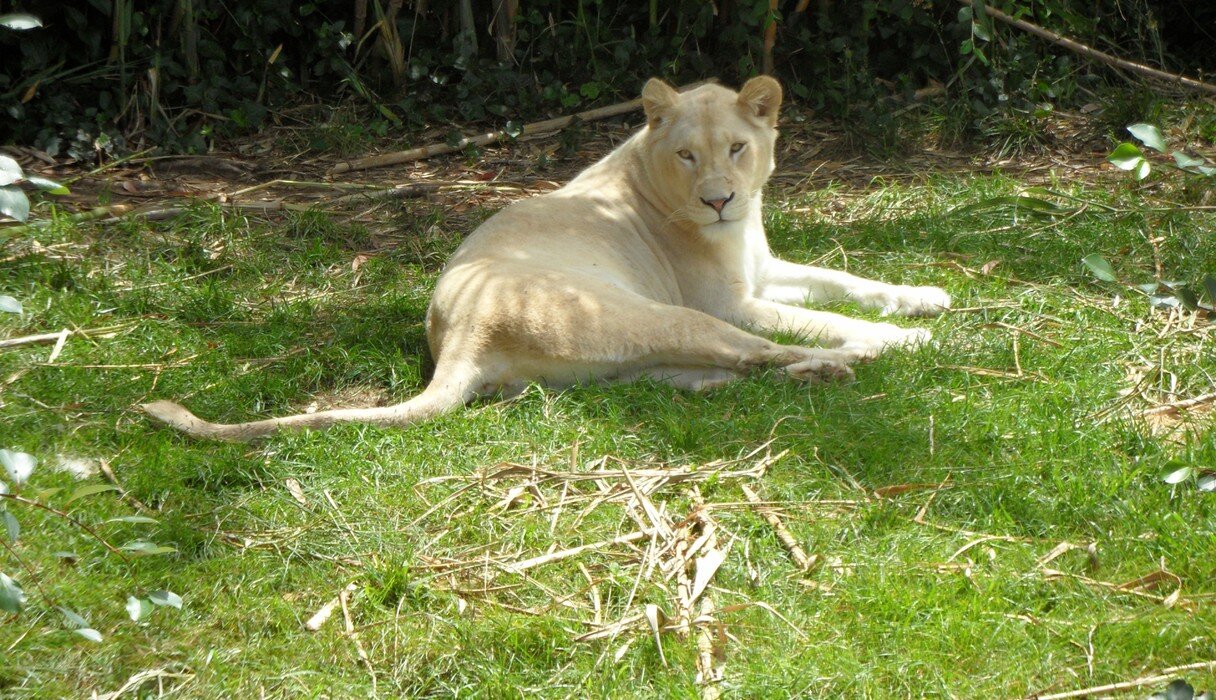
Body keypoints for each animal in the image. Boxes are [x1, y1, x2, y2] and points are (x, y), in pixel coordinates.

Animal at [143, 77, 950, 442]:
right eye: (688, 155)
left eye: (737, 148)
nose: (720, 199)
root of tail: (461, 330)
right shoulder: (731, 299)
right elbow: (812, 317)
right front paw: (909, 330)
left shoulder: (765, 269)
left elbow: (846, 281)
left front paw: (923, 296)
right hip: (662, 315)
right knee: (758, 350)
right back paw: (859, 358)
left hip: (630, 352)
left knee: (704, 373)